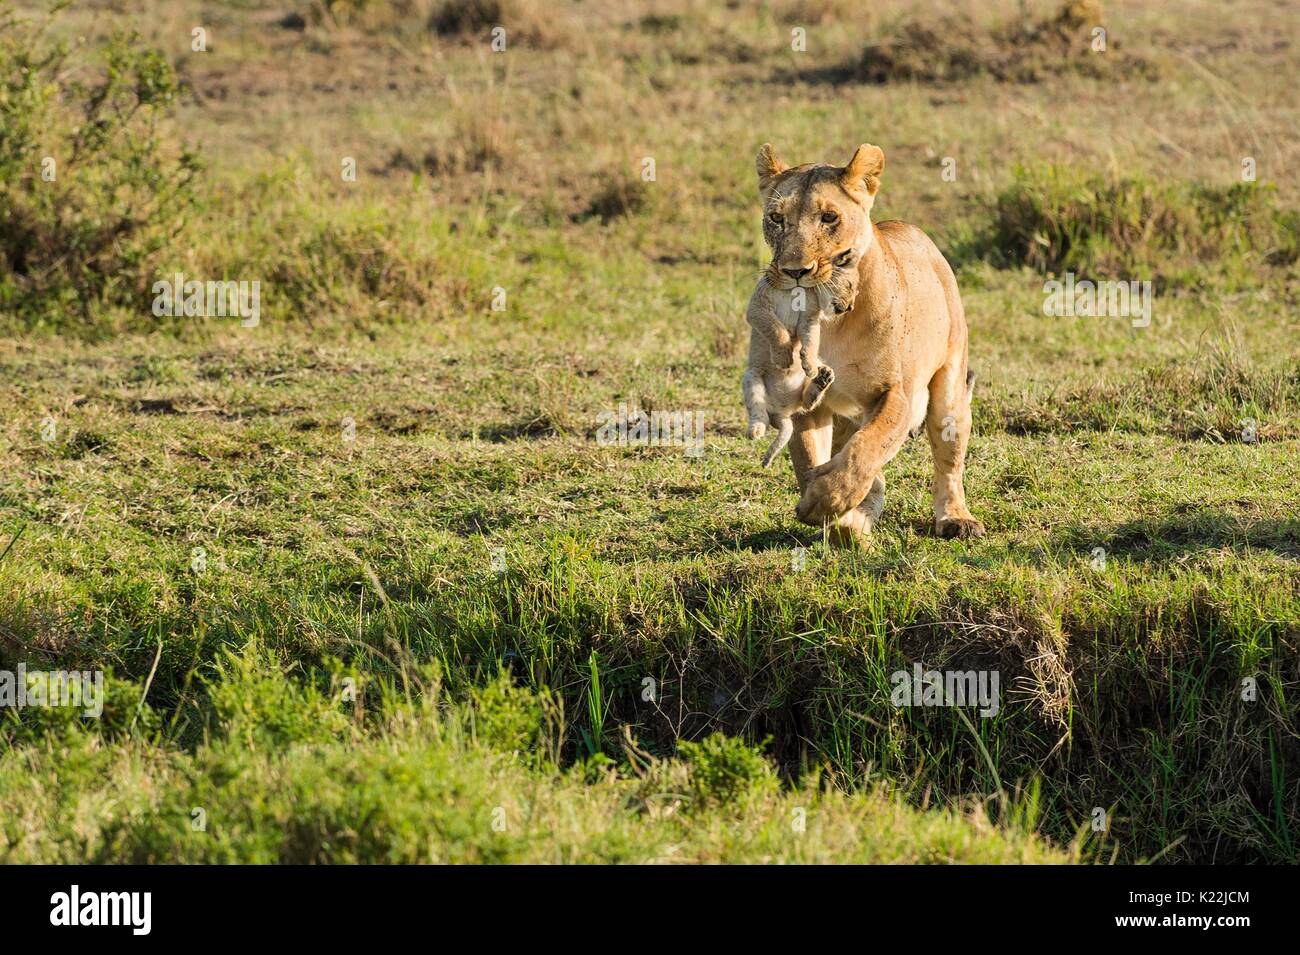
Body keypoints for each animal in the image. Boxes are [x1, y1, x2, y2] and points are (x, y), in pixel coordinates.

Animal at [747, 141, 985, 545]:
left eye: (829, 218)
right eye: (776, 218)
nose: (795, 271)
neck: (831, 321)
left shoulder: (896, 394)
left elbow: (866, 450)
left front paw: (826, 501)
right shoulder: (806, 403)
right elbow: (811, 460)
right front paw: (842, 519)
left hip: (949, 393)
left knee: (949, 463)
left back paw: (956, 518)